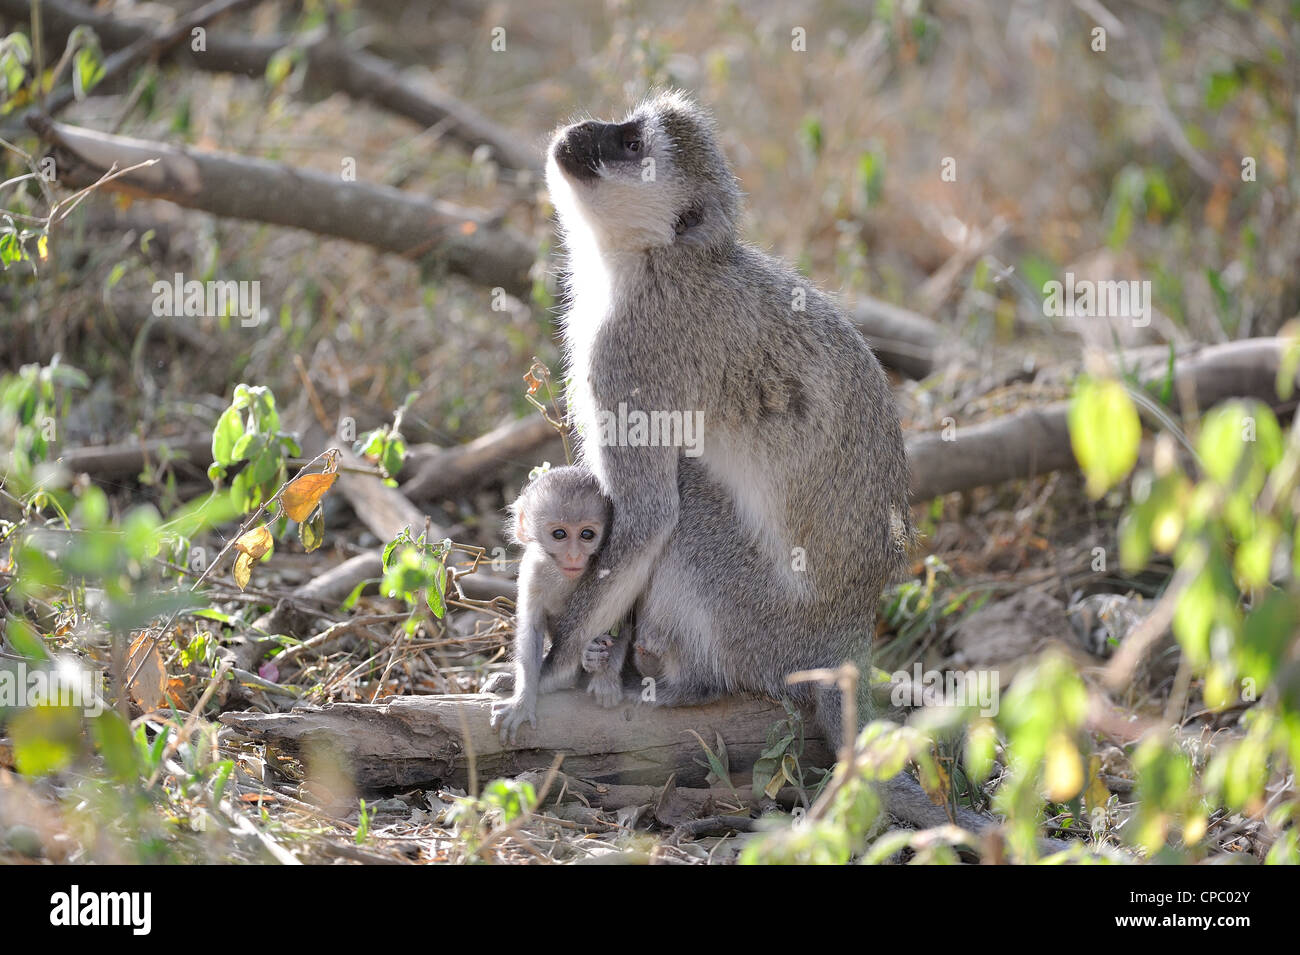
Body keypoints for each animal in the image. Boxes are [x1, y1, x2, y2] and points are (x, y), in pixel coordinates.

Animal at [486, 465, 632, 742]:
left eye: (587, 534)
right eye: (559, 534)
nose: (574, 555)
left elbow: (625, 617)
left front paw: (606, 676)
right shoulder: (532, 568)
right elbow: (531, 629)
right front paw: (523, 700)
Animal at [542, 90, 994, 834]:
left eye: (631, 143)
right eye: (624, 121)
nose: (579, 129)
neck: (661, 259)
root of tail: (844, 640)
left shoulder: (631, 356)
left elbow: (648, 516)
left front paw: (550, 669)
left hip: (759, 619)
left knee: (689, 514)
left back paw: (688, 682)